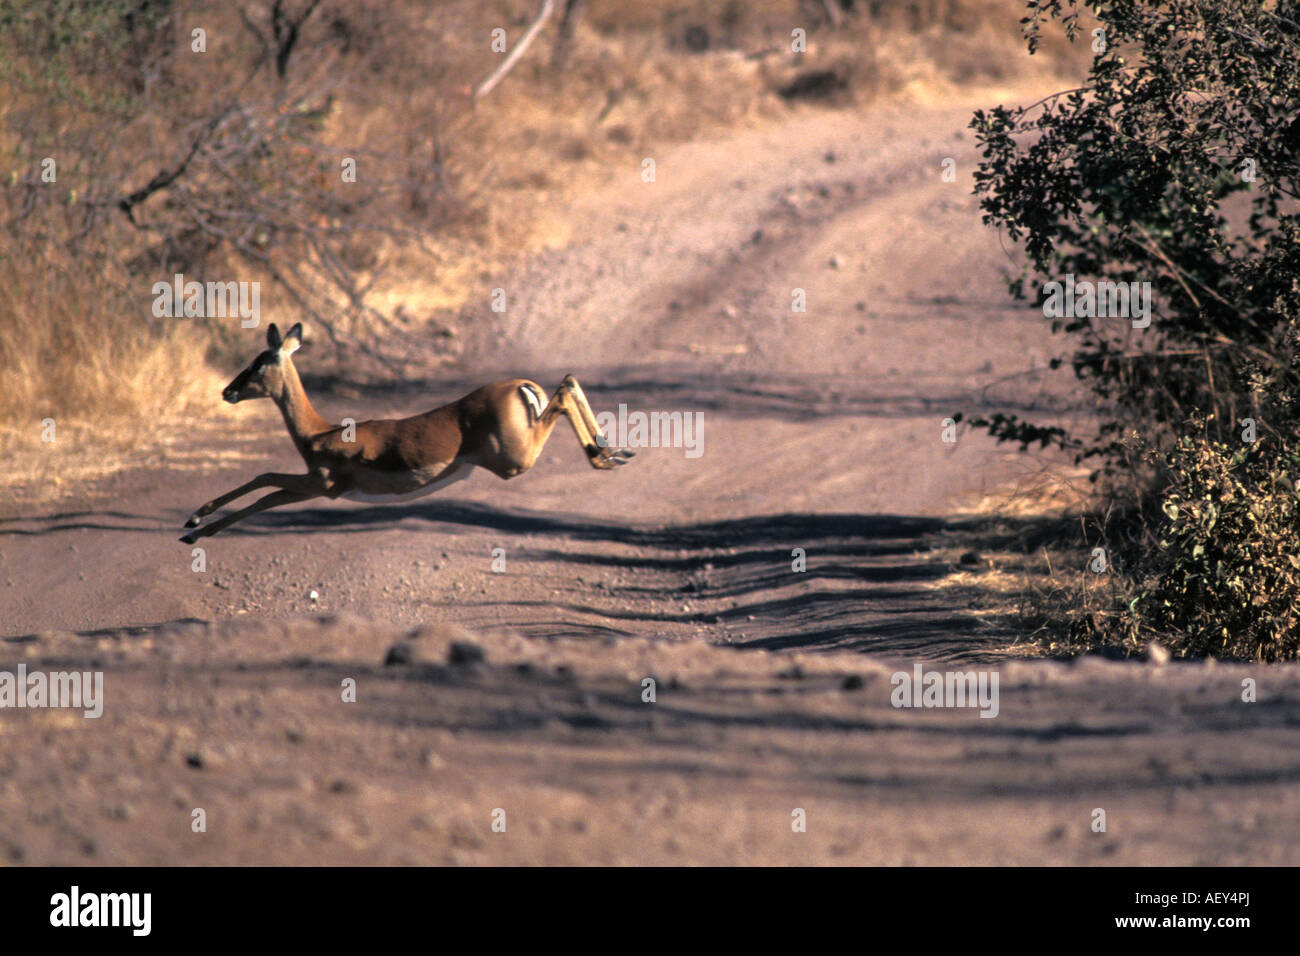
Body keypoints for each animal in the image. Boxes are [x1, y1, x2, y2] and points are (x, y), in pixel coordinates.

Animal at [180, 323, 633, 543]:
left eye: (259, 362)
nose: (227, 391)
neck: (320, 433)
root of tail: (523, 386)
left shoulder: (322, 484)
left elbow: (265, 480)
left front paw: (195, 525)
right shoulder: (319, 487)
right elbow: (267, 491)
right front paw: (194, 526)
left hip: (515, 460)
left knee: (564, 390)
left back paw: (604, 455)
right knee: (569, 380)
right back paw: (614, 453)